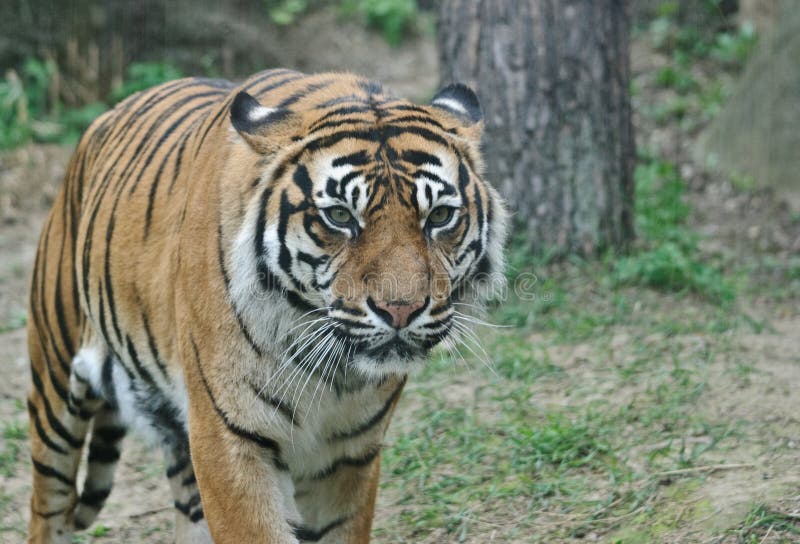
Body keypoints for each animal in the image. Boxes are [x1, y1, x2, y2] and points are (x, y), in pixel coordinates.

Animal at [25, 69, 508, 543]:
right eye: (340, 216)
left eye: (440, 216)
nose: (401, 310)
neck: (334, 373)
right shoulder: (228, 439)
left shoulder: (347, 453)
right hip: (54, 386)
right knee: (47, 506)